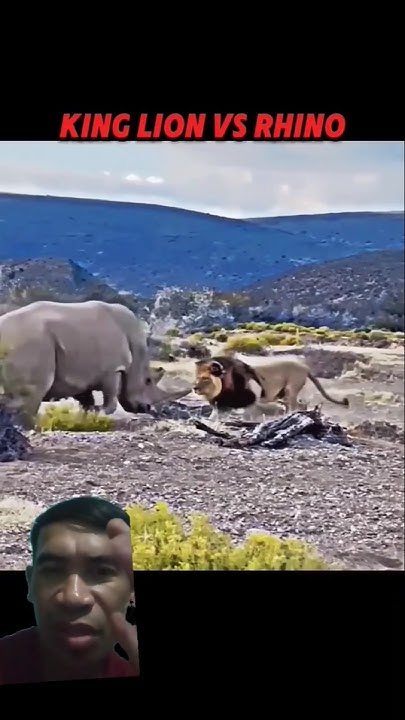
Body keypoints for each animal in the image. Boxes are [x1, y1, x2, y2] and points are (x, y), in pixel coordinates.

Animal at [0, 299, 180, 429]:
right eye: (148, 381)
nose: (146, 408)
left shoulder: (80, 376)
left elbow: (86, 402)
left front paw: (84, 419)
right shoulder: (113, 369)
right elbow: (110, 402)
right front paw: (98, 413)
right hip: (29, 344)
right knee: (31, 396)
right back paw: (29, 428)